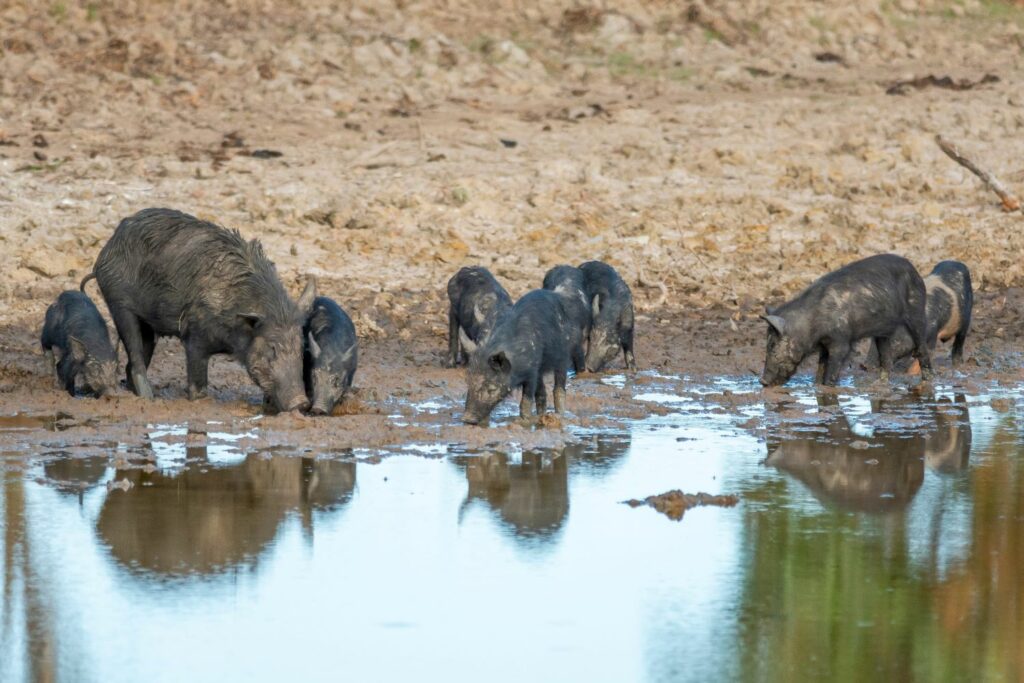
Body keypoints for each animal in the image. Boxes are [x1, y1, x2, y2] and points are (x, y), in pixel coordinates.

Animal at [86, 208, 313, 411]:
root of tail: (106, 251)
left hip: (146, 324)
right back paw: (149, 399)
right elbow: (198, 381)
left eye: (301, 348)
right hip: (119, 303)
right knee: (135, 358)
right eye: (272, 349)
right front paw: (200, 400)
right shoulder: (194, 335)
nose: (301, 403)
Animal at [462, 290, 585, 425]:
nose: (466, 418)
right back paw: (541, 416)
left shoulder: (531, 372)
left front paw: (524, 421)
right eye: (469, 382)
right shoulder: (535, 369)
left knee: (559, 388)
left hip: (563, 356)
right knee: (542, 392)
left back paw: (559, 415)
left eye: (492, 388)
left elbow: (526, 399)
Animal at [760, 254, 933, 387]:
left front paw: (827, 387)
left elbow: (833, 368)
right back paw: (880, 384)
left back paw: (927, 381)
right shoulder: (824, 344)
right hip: (883, 331)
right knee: (886, 357)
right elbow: (821, 366)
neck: (811, 324)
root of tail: (913, 268)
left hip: (916, 310)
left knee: (921, 347)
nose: (763, 381)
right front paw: (816, 386)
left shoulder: (841, 340)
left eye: (772, 345)